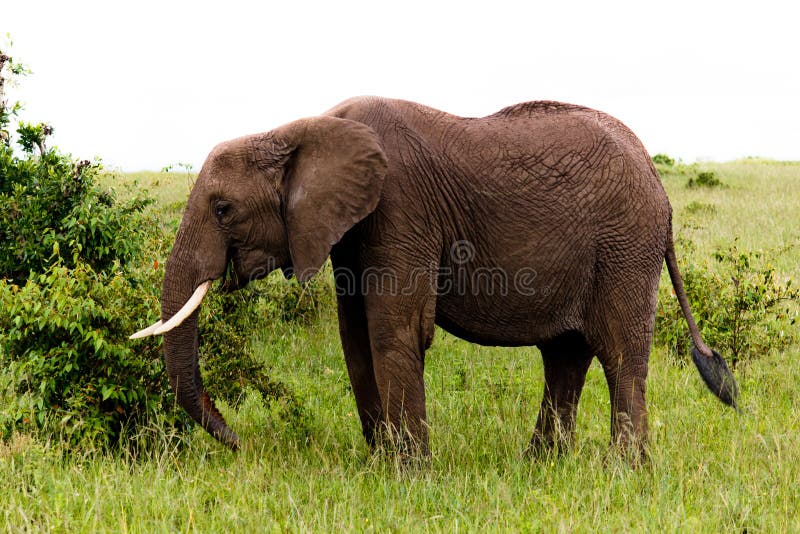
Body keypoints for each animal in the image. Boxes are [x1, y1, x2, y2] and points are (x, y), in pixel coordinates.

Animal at [131, 96, 738, 459]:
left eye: (223, 210)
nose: (242, 443)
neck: (302, 127)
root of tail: (660, 186)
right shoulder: (351, 230)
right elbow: (355, 337)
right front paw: (380, 465)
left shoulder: (401, 209)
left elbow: (392, 332)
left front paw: (409, 476)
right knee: (564, 355)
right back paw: (540, 467)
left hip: (624, 246)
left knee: (619, 353)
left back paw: (624, 473)